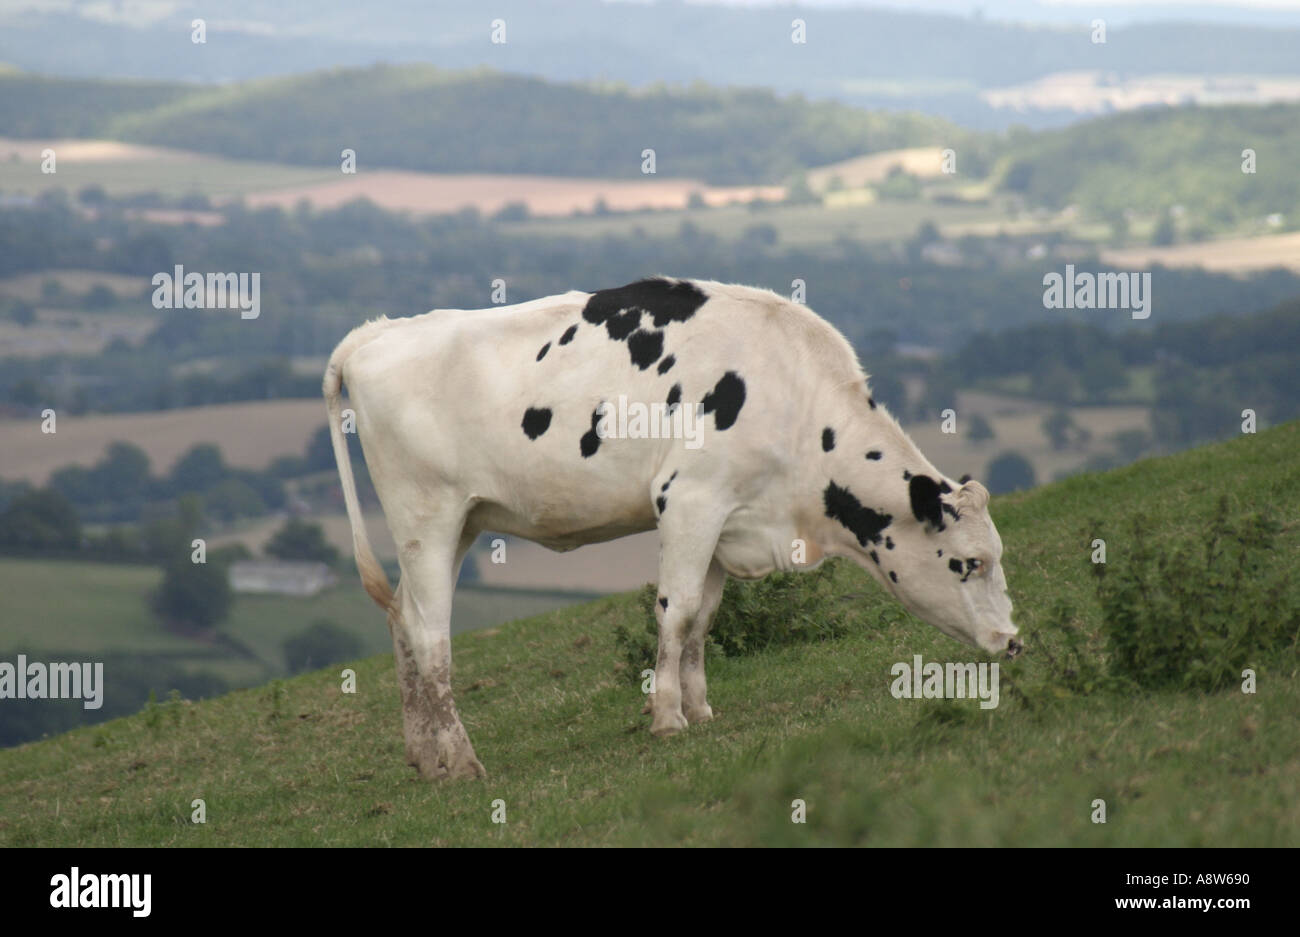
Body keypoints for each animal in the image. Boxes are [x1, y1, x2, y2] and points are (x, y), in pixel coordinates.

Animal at [323, 277, 1020, 780]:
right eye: (970, 562)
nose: (1012, 641)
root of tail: (377, 335)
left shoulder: (724, 518)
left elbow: (703, 618)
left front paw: (699, 707)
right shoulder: (689, 500)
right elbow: (677, 610)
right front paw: (666, 716)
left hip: (459, 523)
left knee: (402, 618)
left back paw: (425, 757)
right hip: (427, 518)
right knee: (429, 634)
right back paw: (463, 760)